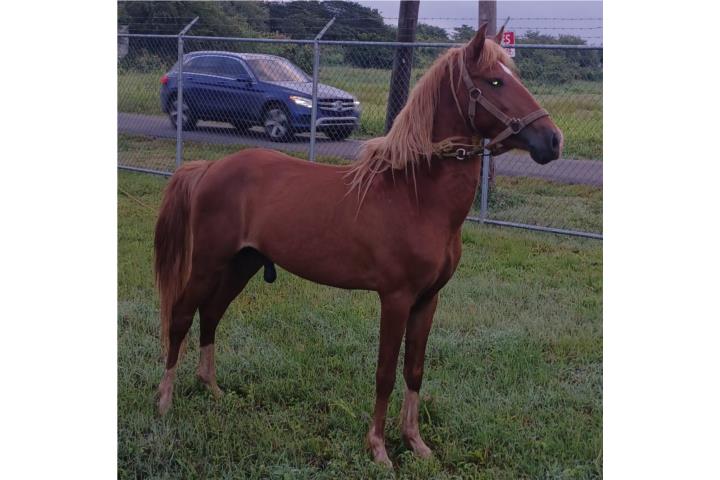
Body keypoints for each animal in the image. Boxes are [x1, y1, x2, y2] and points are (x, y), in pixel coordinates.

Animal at [153, 24, 562, 467]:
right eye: (494, 82)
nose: (553, 140)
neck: (415, 196)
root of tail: (209, 167)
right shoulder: (396, 298)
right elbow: (385, 373)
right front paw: (379, 447)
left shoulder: (428, 300)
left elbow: (414, 370)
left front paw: (415, 442)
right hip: (208, 263)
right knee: (181, 317)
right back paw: (165, 401)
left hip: (242, 264)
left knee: (211, 315)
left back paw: (212, 389)